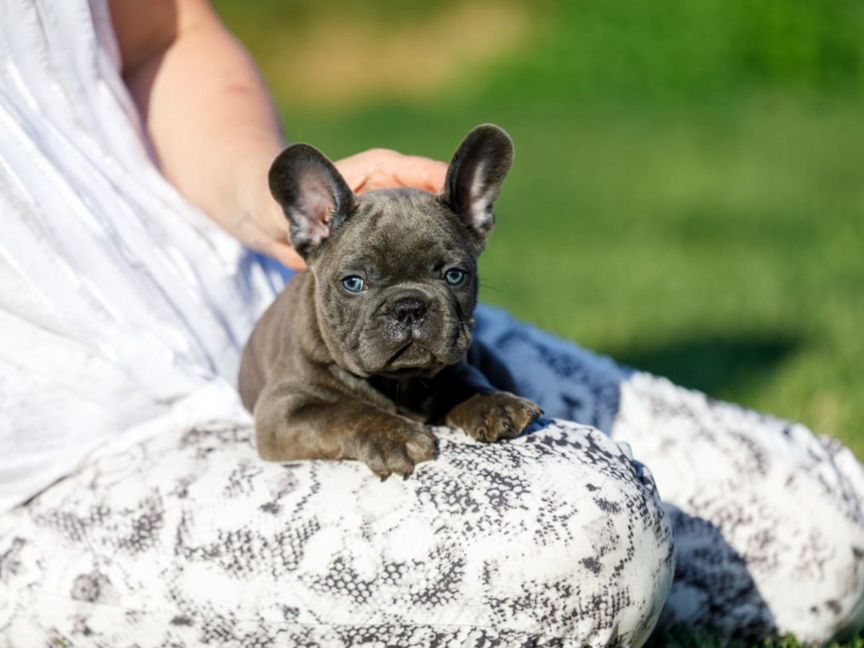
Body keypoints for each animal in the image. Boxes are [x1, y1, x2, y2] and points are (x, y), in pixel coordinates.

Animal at [238, 124, 540, 478]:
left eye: (455, 276)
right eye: (354, 283)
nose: (409, 307)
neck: (399, 382)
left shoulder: (455, 364)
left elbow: (466, 380)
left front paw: (494, 403)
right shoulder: (282, 409)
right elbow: (341, 412)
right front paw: (394, 434)